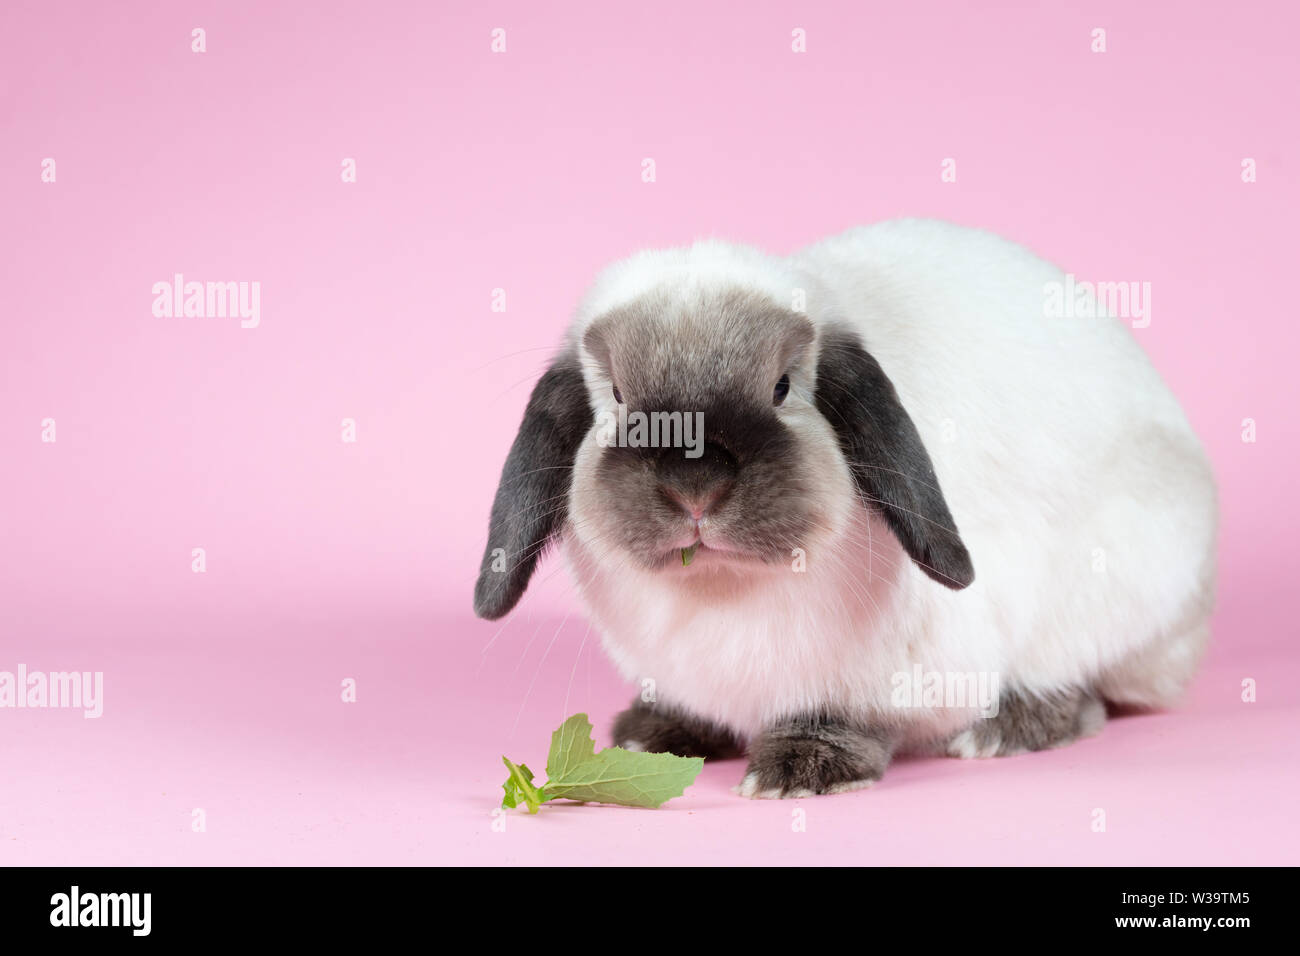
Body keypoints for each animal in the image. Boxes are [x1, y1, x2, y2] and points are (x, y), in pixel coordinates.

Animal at [474, 218, 1217, 798]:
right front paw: (652, 737)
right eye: (620, 397)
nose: (695, 486)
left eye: (782, 388)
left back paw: (1000, 732)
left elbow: (850, 719)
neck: (721, 589)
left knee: (1083, 696)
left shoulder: (890, 674)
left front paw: (799, 770)